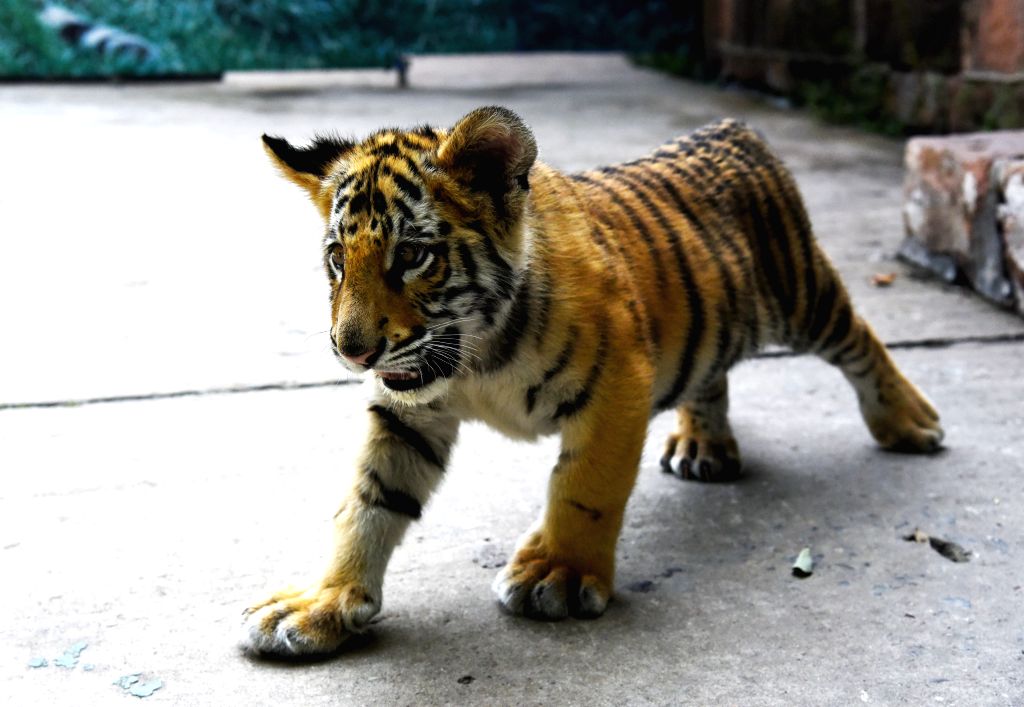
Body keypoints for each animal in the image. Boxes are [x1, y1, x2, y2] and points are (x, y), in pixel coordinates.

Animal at [241, 106, 943, 656]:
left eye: (413, 255)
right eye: (337, 258)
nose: (352, 352)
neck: (476, 356)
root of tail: (732, 126)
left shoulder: (617, 385)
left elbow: (583, 487)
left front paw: (557, 575)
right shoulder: (408, 412)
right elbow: (367, 502)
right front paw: (323, 603)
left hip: (800, 296)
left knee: (860, 339)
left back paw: (911, 421)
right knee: (712, 373)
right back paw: (704, 446)